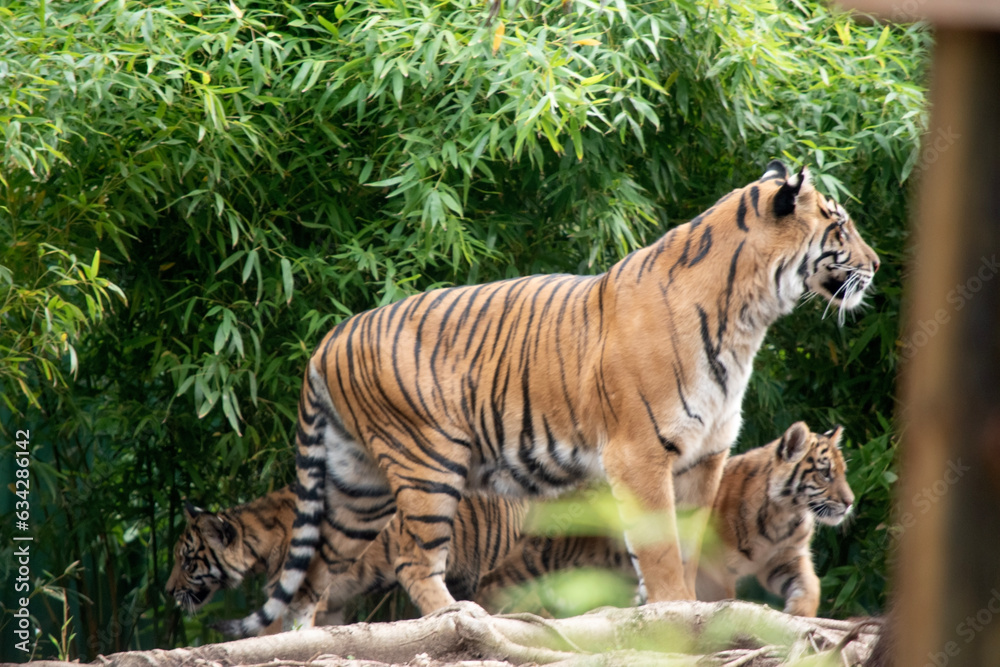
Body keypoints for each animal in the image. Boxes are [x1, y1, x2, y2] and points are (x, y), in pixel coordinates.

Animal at [477, 422, 855, 618]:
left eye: (843, 472)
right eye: (825, 473)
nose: (850, 503)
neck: (785, 515)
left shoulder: (786, 559)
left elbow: (811, 585)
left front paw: (800, 614)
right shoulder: (711, 568)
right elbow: (718, 599)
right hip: (540, 559)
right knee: (493, 584)